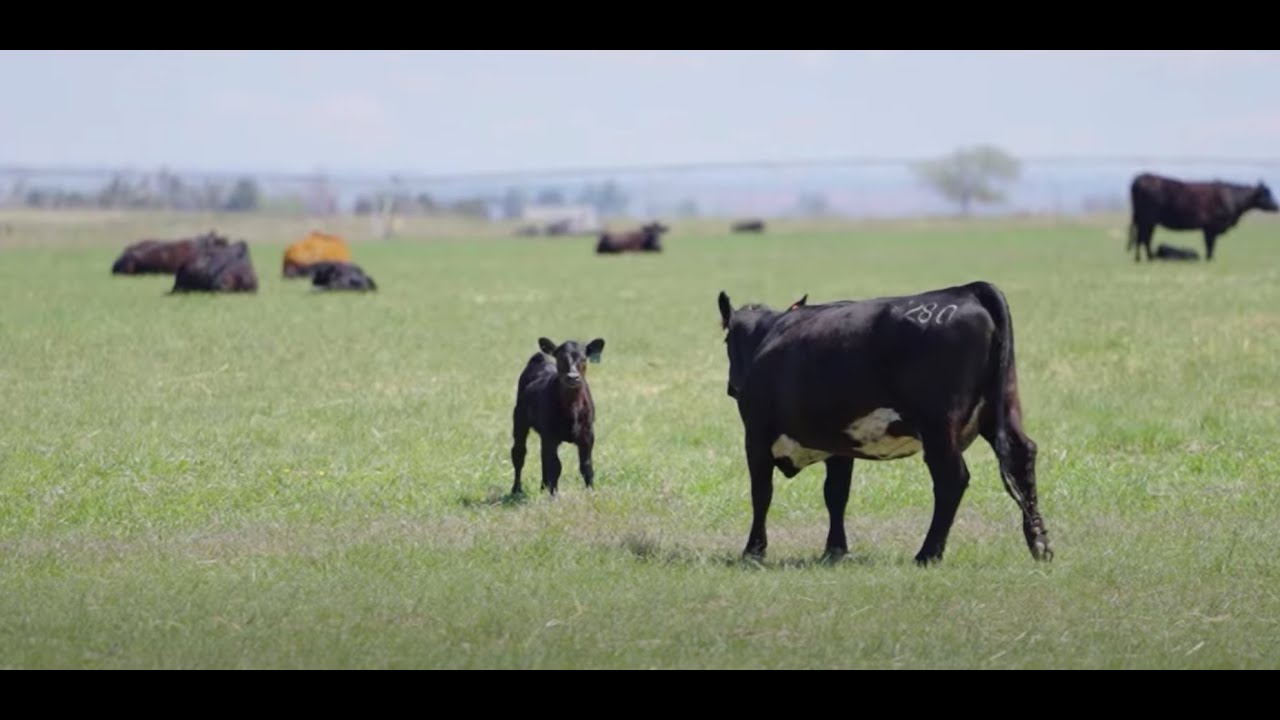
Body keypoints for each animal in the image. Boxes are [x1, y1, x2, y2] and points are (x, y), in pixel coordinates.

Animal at [510, 336, 606, 497]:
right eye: (560, 358)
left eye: (583, 359)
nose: (573, 377)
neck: (572, 408)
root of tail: (540, 358)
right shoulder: (550, 436)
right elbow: (555, 466)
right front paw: (554, 495)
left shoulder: (588, 434)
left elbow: (586, 465)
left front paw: (591, 492)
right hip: (519, 422)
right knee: (519, 453)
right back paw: (516, 489)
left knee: (543, 458)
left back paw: (543, 487)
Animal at [716, 281, 1053, 567]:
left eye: (726, 338)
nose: (732, 386)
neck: (767, 336)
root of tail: (967, 290)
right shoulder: (840, 444)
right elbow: (836, 494)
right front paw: (835, 550)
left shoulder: (756, 436)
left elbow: (761, 494)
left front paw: (753, 552)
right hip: (1001, 407)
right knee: (1021, 455)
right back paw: (1039, 544)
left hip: (939, 427)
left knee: (952, 479)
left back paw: (927, 554)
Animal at [1128, 173, 1278, 262]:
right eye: (1266, 193)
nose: (1277, 206)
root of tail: (1141, 177)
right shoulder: (1211, 227)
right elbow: (1210, 244)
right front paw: (1210, 259)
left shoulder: (1208, 228)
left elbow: (1209, 244)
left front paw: (1209, 258)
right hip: (1147, 220)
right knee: (1144, 238)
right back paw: (1148, 257)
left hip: (1145, 220)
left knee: (1142, 238)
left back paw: (1143, 258)